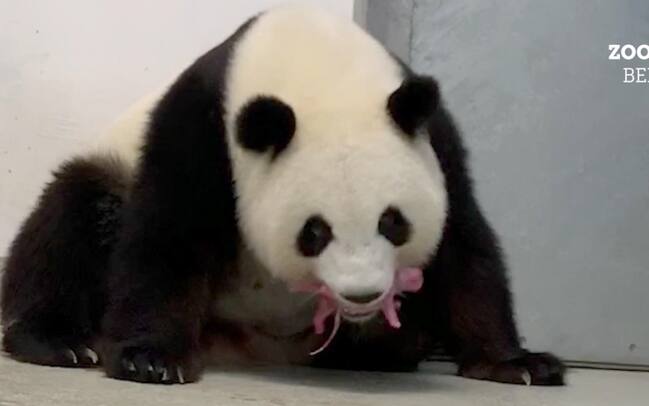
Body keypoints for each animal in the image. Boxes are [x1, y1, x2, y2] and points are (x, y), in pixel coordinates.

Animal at [0, 5, 564, 385]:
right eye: (314, 232)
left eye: (393, 222)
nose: (363, 296)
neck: (317, 64)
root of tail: (254, 349)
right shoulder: (203, 128)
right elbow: (168, 234)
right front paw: (151, 358)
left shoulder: (436, 141)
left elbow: (464, 246)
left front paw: (518, 363)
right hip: (110, 170)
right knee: (70, 222)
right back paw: (59, 342)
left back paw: (380, 351)